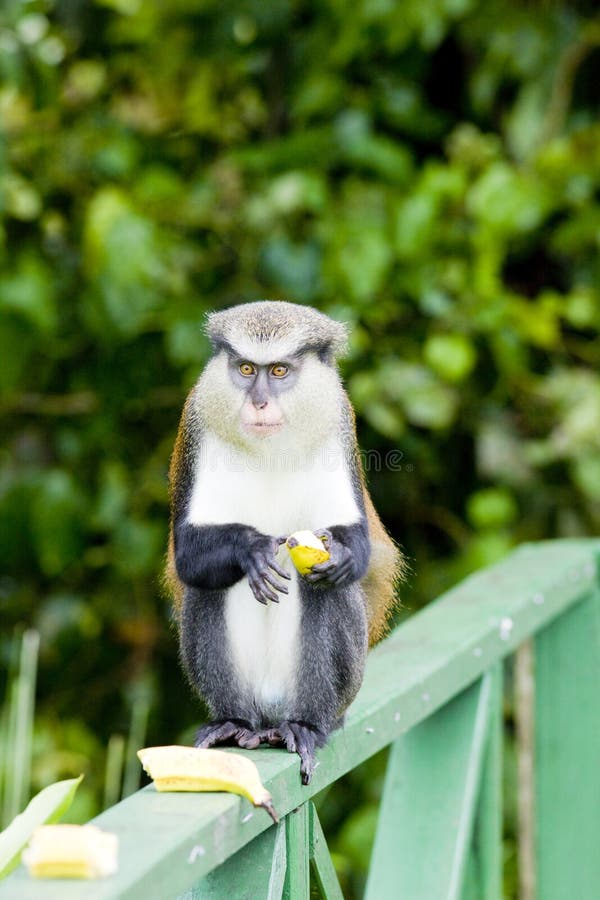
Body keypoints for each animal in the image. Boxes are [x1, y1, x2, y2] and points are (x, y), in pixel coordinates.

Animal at [164, 301, 402, 784]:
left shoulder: (338, 423)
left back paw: (306, 726)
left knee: (325, 589)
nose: (258, 402)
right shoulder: (197, 425)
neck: (269, 449)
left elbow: (357, 544)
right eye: (245, 368)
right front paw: (251, 550)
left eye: (278, 370)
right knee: (208, 585)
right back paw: (232, 723)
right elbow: (189, 555)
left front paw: (343, 555)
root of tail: (268, 714)